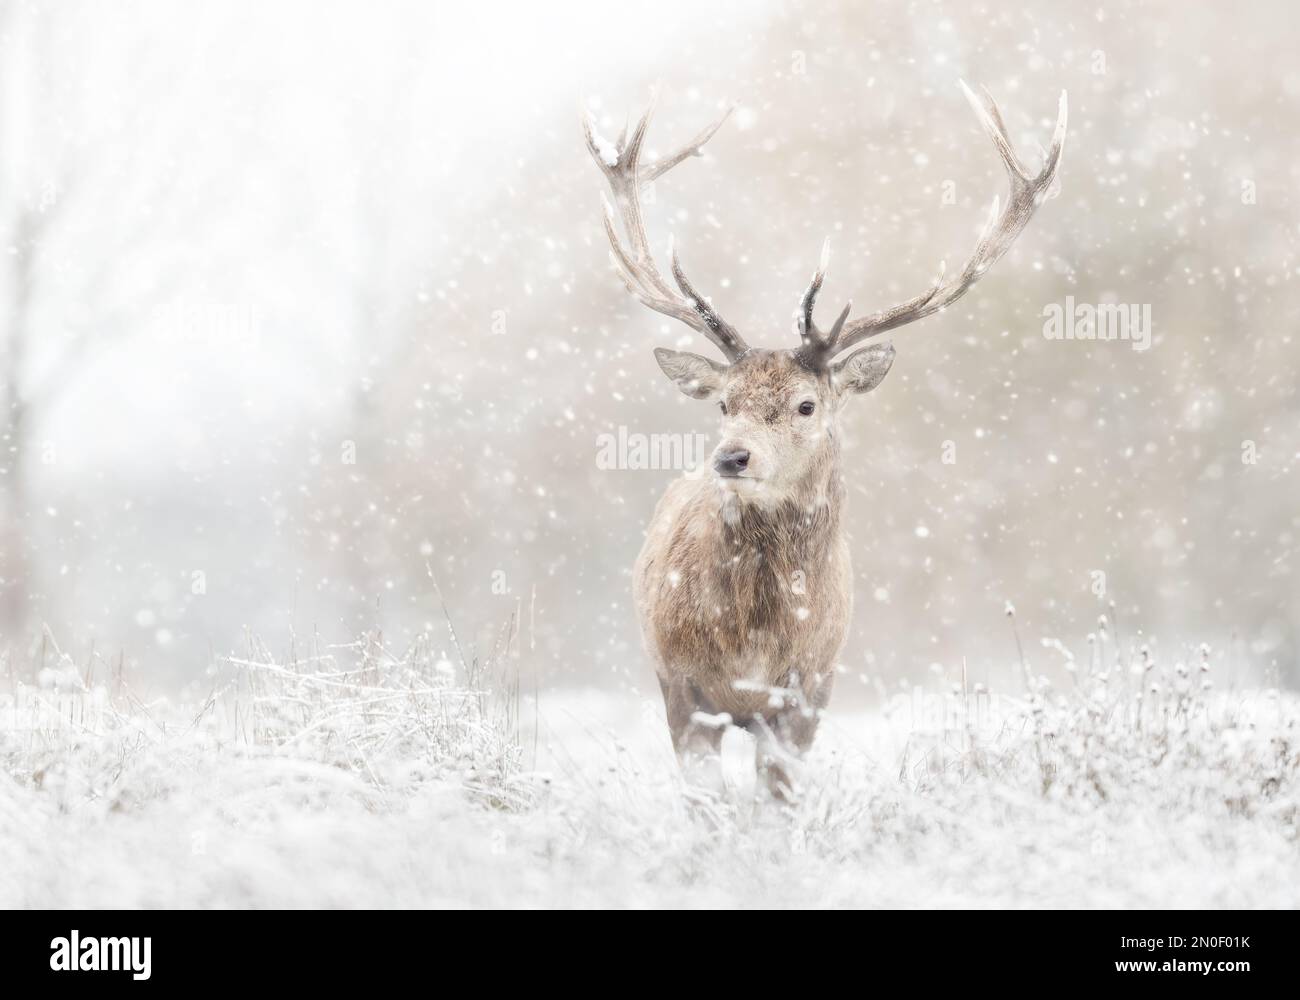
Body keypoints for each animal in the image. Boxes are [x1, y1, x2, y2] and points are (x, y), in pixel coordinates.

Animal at [584, 83, 1067, 798]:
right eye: (724, 402)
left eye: (806, 404)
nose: (732, 455)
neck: (754, 642)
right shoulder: (681, 686)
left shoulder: (810, 690)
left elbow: (778, 801)